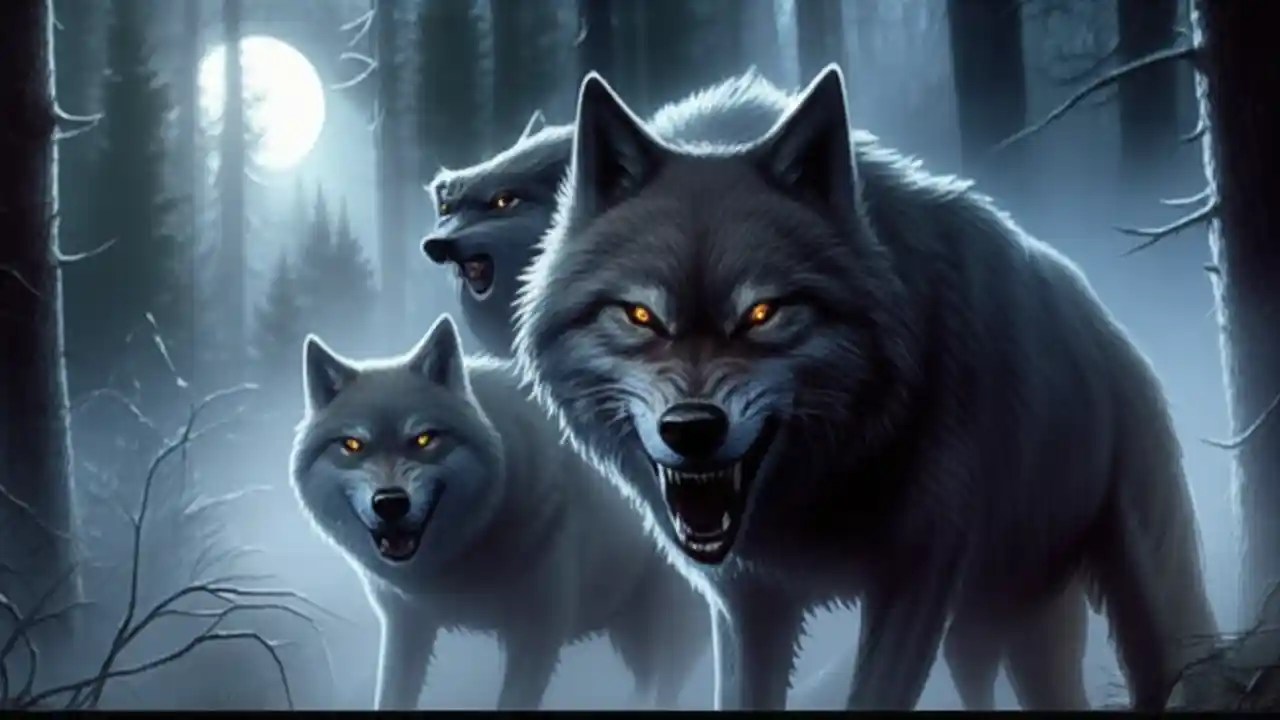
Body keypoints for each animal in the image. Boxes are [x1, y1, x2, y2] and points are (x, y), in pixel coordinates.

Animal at [289, 315, 708, 710]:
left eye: (424, 439)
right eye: (352, 445)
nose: (390, 502)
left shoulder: (536, 636)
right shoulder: (407, 624)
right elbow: (393, 696)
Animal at [513, 66, 1219, 711]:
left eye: (763, 313)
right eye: (640, 316)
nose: (692, 428)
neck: (826, 482)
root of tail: (1112, 330)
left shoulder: (915, 579)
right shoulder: (750, 603)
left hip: (1137, 598)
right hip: (998, 624)